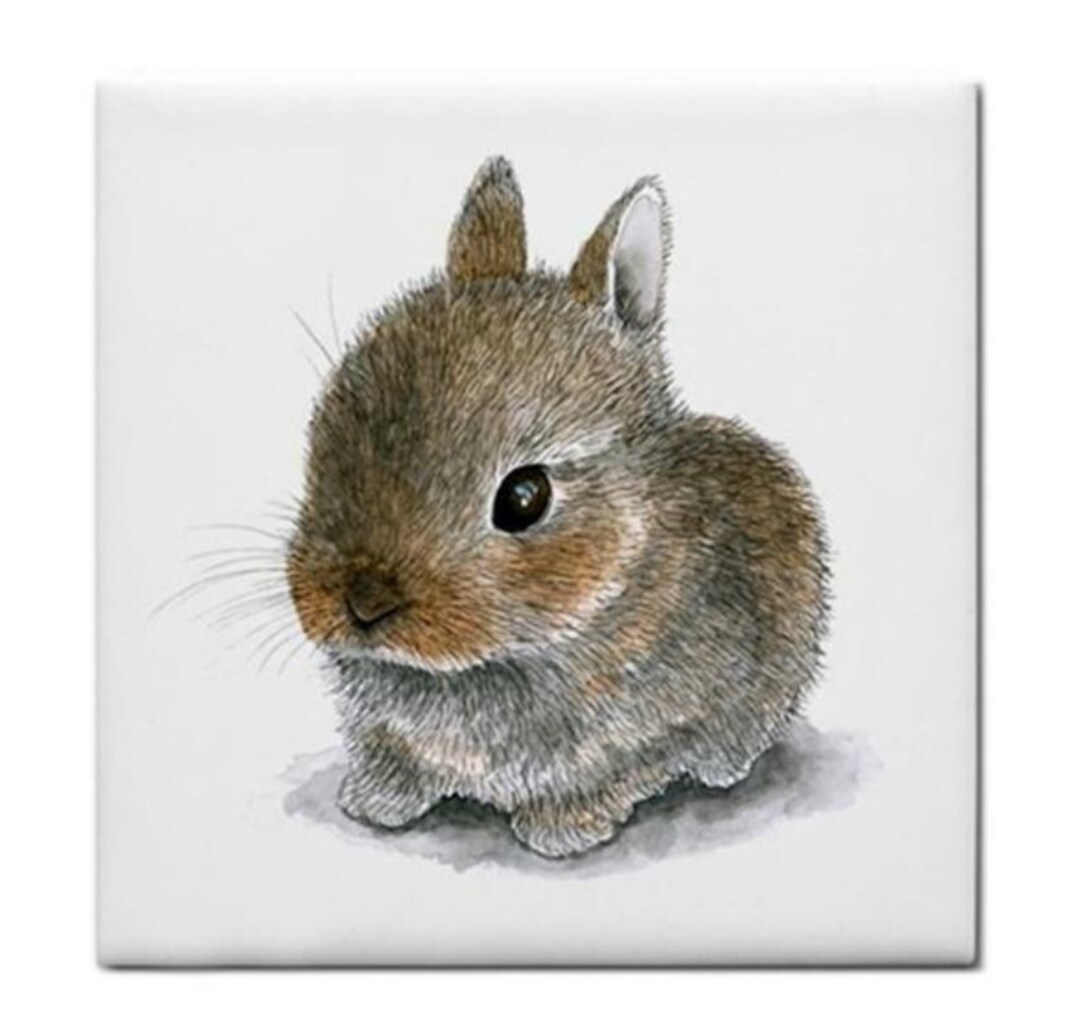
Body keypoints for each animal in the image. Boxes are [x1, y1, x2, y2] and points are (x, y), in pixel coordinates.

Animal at [286, 156, 830, 858]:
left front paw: (563, 833)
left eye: (524, 498)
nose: (362, 602)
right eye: (330, 425)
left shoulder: (651, 735)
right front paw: (375, 804)